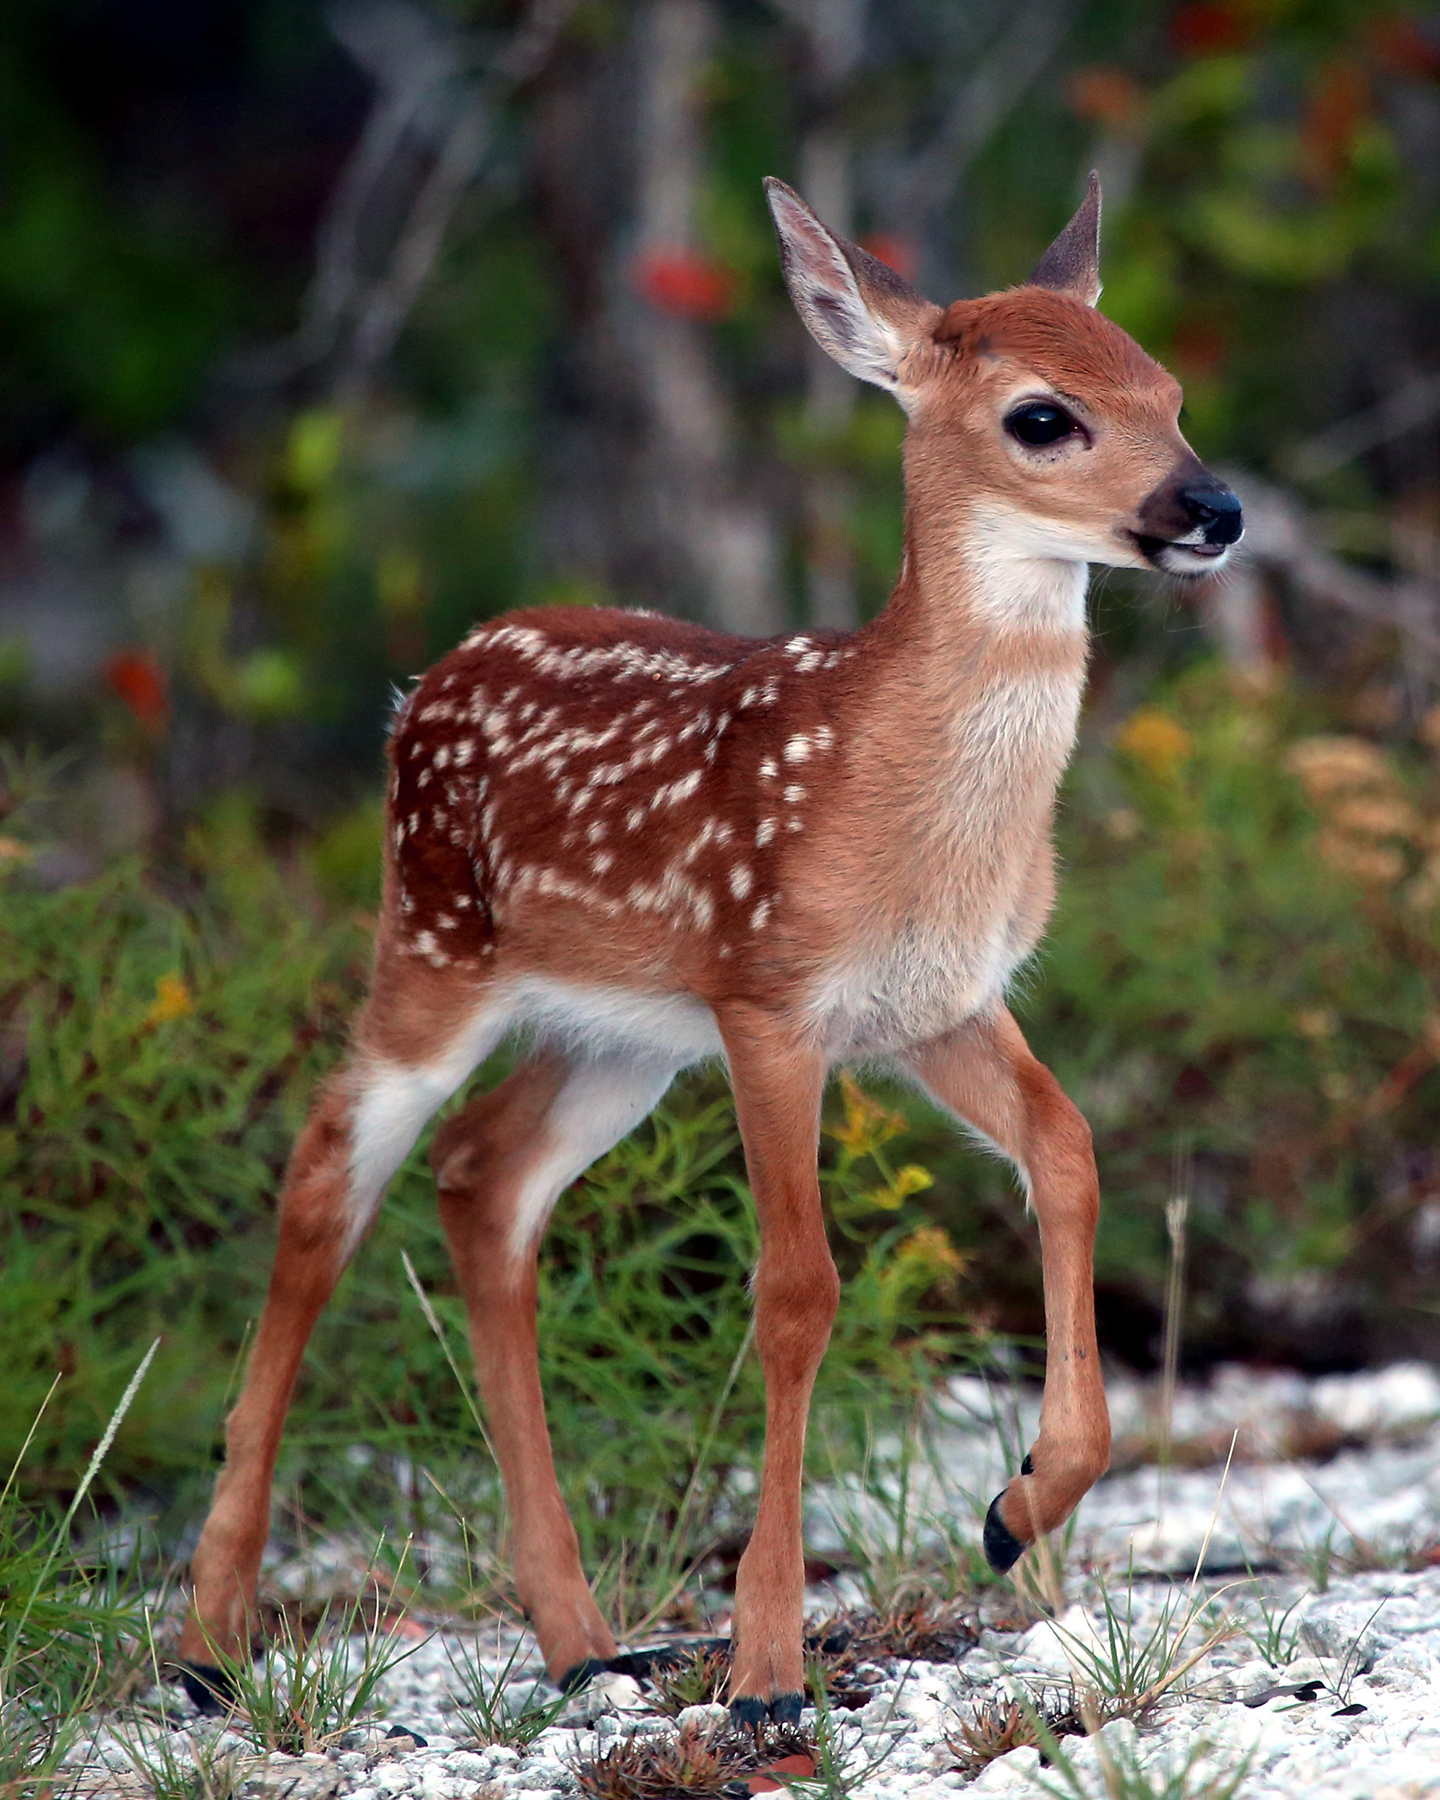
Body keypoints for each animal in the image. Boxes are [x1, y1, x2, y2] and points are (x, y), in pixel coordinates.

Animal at [176, 172, 1242, 1726]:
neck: (897, 795)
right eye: (1044, 416)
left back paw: (579, 1640)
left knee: (484, 1178)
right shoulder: (769, 996)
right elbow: (797, 1290)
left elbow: (1069, 1149)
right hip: (433, 946)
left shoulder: (936, 1006)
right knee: (323, 1179)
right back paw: (207, 1641)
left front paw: (1017, 1504)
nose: (1213, 507)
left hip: (619, 1036)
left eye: (1169, 392)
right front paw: (768, 1670)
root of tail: (425, 680)